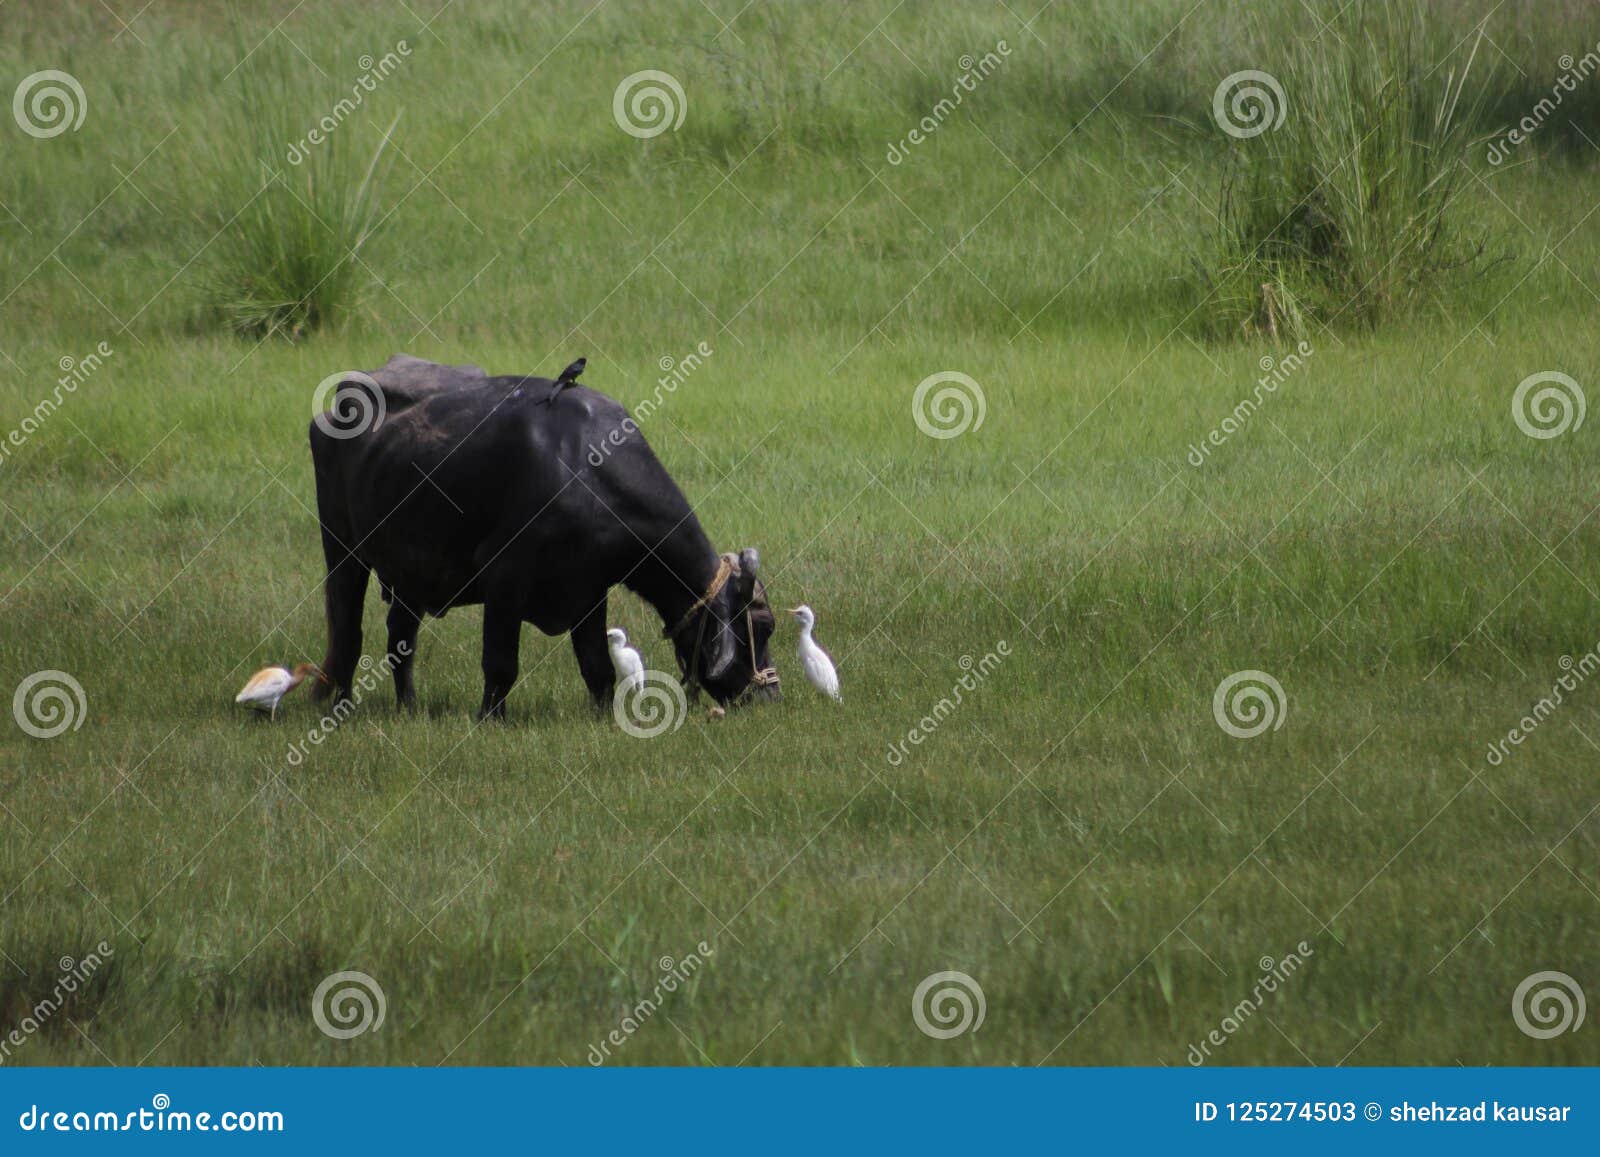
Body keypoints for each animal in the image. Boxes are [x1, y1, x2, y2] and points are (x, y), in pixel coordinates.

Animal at [308, 354, 779, 719]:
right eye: (761, 628)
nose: (768, 695)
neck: (588, 474)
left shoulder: (589, 591)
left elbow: (597, 666)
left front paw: (602, 715)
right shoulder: (504, 582)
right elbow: (500, 663)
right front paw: (490, 718)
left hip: (411, 571)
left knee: (400, 637)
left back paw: (409, 706)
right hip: (343, 551)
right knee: (347, 629)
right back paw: (342, 706)